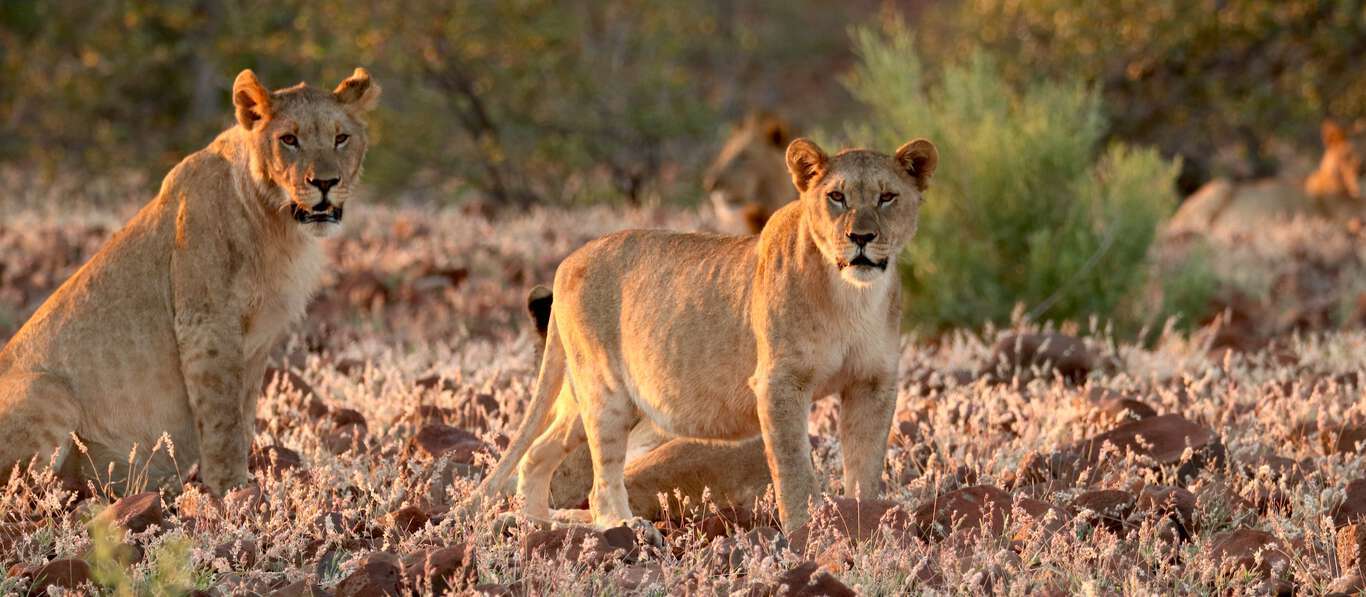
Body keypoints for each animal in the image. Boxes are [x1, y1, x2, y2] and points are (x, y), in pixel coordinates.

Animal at [0, 68, 380, 495]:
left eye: (341, 137)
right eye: (289, 139)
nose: (326, 182)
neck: (277, 223)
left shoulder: (258, 341)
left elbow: (243, 416)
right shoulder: (206, 324)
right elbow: (221, 420)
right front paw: (232, 489)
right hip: (49, 392)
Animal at [478, 136, 938, 533]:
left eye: (887, 197)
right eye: (837, 197)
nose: (860, 237)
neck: (851, 298)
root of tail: (567, 261)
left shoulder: (872, 382)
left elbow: (865, 467)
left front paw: (865, 523)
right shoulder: (779, 382)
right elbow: (793, 468)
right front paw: (807, 534)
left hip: (589, 398)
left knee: (536, 454)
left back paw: (533, 522)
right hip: (605, 391)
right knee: (599, 484)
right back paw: (626, 528)